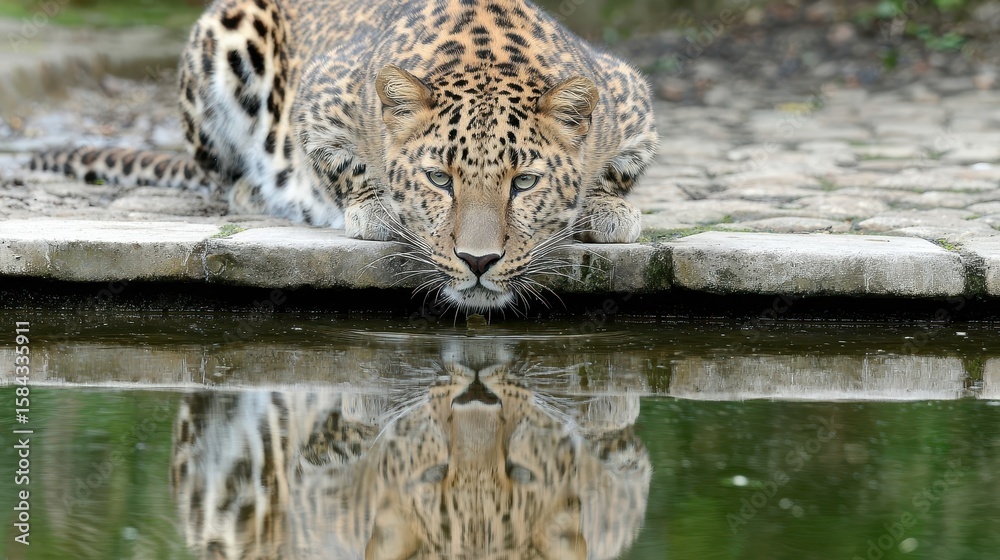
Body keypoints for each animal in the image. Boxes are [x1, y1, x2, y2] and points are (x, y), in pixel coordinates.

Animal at [31, 0, 658, 311]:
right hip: (226, 34)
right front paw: (376, 208)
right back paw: (253, 189)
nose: (478, 261)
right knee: (221, 172)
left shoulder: (632, 93)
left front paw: (607, 208)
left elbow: (620, 170)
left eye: (523, 183)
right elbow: (338, 163)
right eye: (439, 179)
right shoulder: (320, 91)